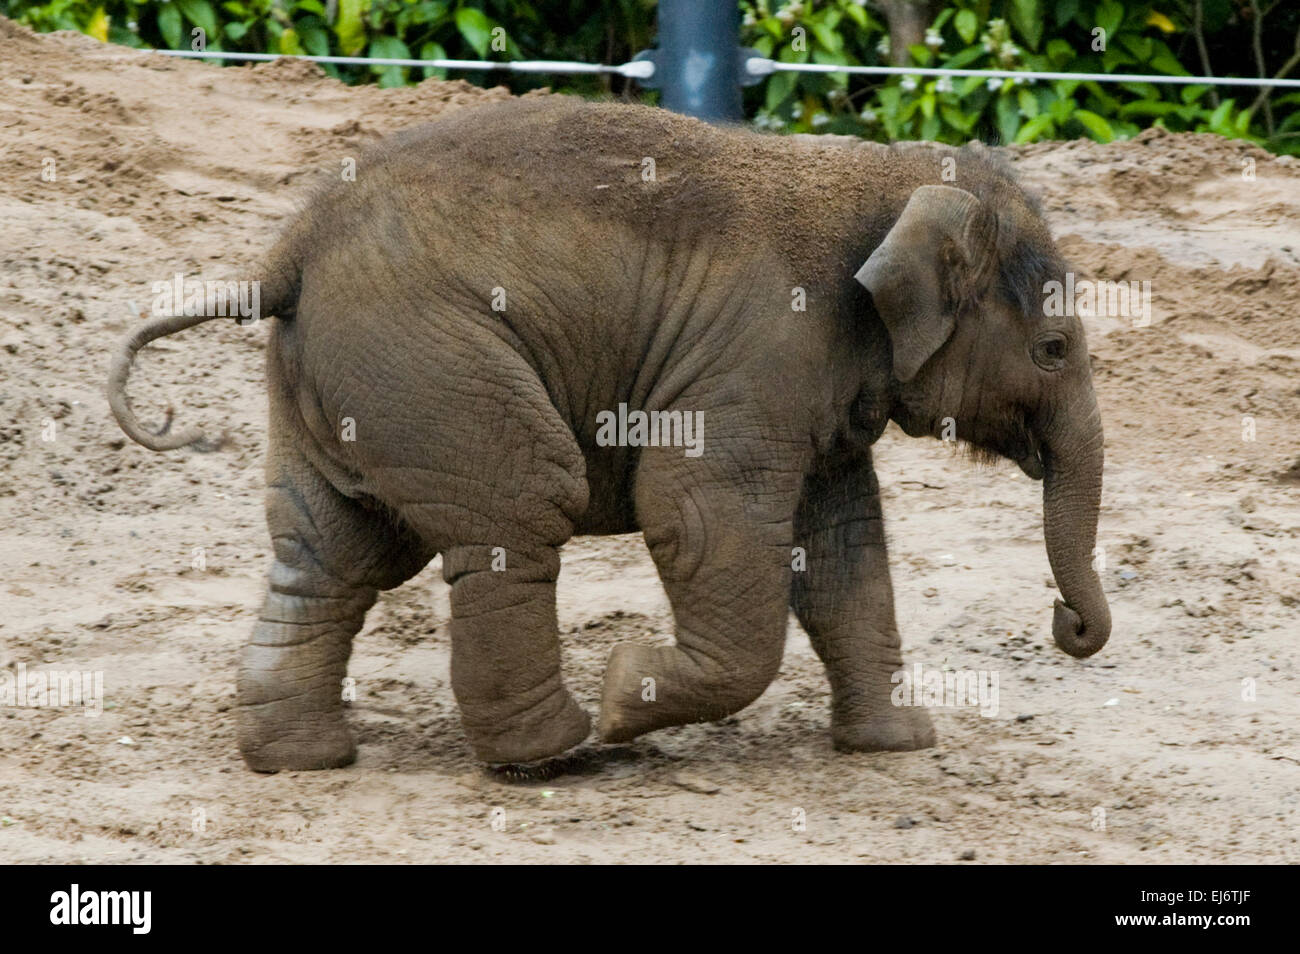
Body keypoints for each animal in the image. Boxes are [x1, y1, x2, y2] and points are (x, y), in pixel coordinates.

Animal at [107, 96, 1110, 771]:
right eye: (1055, 349)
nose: (1067, 624)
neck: (876, 180)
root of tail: (288, 254)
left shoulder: (814, 390)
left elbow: (842, 547)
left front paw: (896, 747)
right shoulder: (758, 353)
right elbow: (697, 508)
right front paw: (630, 693)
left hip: (341, 380)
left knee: (332, 550)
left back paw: (303, 759)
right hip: (432, 360)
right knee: (518, 506)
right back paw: (563, 750)